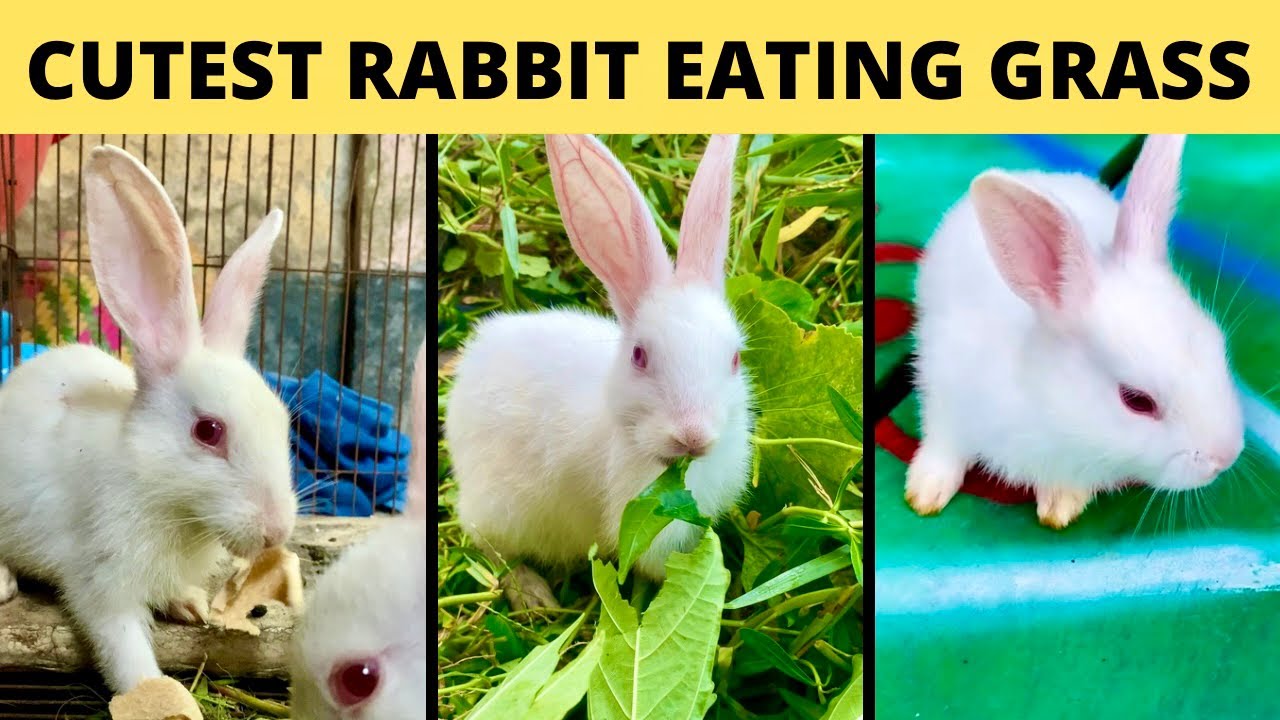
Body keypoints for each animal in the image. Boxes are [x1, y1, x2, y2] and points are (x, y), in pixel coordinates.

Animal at [0, 145, 297, 694]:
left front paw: (191, 605)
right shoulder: (101, 580)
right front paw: (159, 695)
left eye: (283, 421)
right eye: (208, 431)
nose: (276, 531)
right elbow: (125, 651)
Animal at [445, 134, 754, 608]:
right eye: (639, 356)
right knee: (491, 549)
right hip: (503, 509)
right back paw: (534, 596)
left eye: (735, 358)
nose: (693, 436)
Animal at [906, 134, 1244, 529]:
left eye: (1219, 348)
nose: (1225, 457)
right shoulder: (944, 388)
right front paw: (926, 491)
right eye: (1136, 400)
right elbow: (944, 444)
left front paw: (1060, 505)